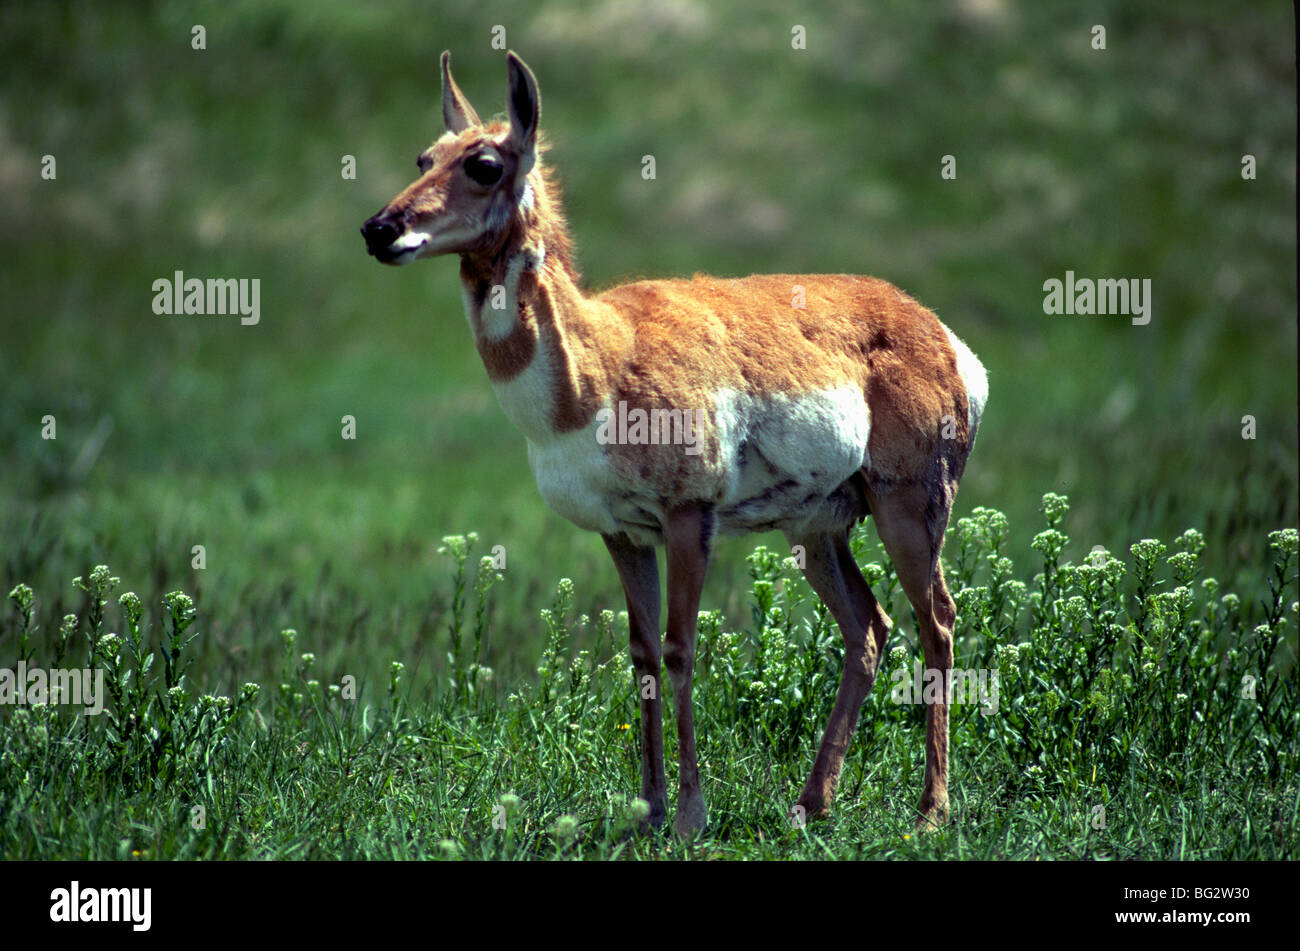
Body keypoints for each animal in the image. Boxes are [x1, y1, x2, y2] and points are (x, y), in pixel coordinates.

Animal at [361, 51, 988, 837]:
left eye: (482, 163)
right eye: (424, 156)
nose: (379, 228)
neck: (599, 363)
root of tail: (943, 336)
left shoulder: (691, 517)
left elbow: (681, 649)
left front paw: (689, 813)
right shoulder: (624, 531)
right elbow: (641, 658)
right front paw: (648, 808)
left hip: (910, 508)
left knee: (937, 622)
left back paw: (931, 811)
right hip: (819, 528)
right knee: (869, 629)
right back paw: (810, 803)